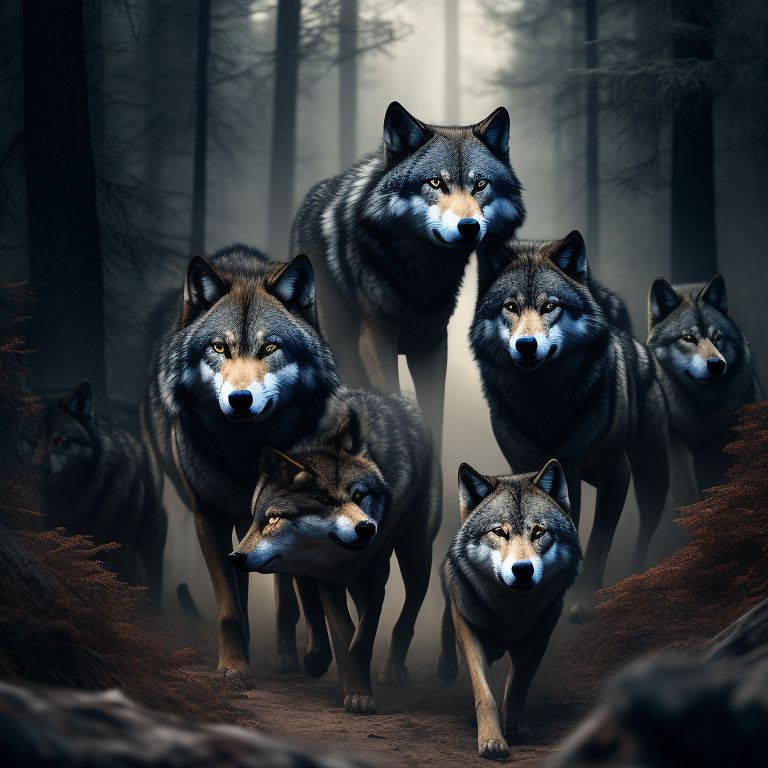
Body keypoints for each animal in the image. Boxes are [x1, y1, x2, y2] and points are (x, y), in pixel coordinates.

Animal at [142, 244, 342, 678]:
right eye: (220, 347)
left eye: (270, 348)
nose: (240, 400)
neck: (247, 452)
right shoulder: (209, 516)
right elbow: (229, 606)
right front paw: (233, 667)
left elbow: (305, 588)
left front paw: (317, 654)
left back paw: (286, 655)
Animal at [229, 388, 441, 714]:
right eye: (268, 518)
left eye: (359, 496)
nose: (367, 528)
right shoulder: (324, 575)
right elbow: (339, 628)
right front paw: (343, 679)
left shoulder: (375, 575)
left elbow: (360, 639)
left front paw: (359, 694)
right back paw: (317, 656)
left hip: (415, 553)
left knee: (410, 608)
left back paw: (393, 669)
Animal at [291, 101, 525, 449]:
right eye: (436, 183)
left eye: (480, 184)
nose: (469, 227)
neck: (422, 271)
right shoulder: (376, 338)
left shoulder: (433, 343)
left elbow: (435, 416)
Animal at [439, 460, 581, 759]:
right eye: (499, 531)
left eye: (538, 531)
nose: (523, 570)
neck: (510, 611)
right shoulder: (469, 630)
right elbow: (485, 694)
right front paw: (491, 741)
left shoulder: (539, 636)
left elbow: (517, 685)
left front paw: (514, 727)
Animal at [470, 231, 669, 614]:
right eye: (511, 307)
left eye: (550, 306)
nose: (526, 345)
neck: (545, 403)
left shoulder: (616, 472)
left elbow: (598, 539)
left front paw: (582, 601)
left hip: (651, 477)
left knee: (648, 527)